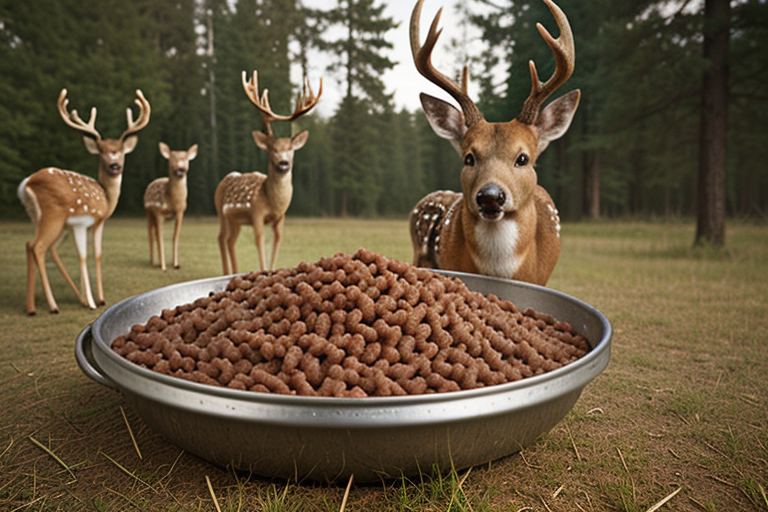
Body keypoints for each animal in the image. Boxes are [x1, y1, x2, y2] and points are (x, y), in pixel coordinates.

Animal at [18, 88, 151, 315]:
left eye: (120, 151)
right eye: (103, 152)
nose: (115, 166)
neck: (107, 199)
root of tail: (27, 183)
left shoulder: (79, 226)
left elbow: (87, 255)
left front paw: (88, 298)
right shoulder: (88, 222)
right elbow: (90, 255)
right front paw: (94, 301)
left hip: (37, 218)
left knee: (32, 245)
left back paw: (32, 306)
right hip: (53, 215)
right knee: (39, 247)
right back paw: (52, 305)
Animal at [143, 142, 198, 271]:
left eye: (186, 158)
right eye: (172, 157)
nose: (181, 168)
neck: (172, 203)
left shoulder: (180, 212)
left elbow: (175, 237)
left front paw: (175, 264)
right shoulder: (158, 212)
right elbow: (160, 238)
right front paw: (163, 267)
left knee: (154, 233)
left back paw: (157, 261)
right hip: (148, 212)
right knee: (151, 234)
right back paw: (153, 262)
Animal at [215, 70, 322, 275]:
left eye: (290, 149)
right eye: (272, 149)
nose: (283, 163)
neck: (273, 202)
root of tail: (225, 178)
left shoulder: (280, 217)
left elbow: (277, 241)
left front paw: (273, 271)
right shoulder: (256, 213)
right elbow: (259, 241)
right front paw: (263, 271)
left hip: (236, 220)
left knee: (230, 240)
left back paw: (234, 270)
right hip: (220, 211)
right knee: (222, 238)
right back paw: (226, 272)